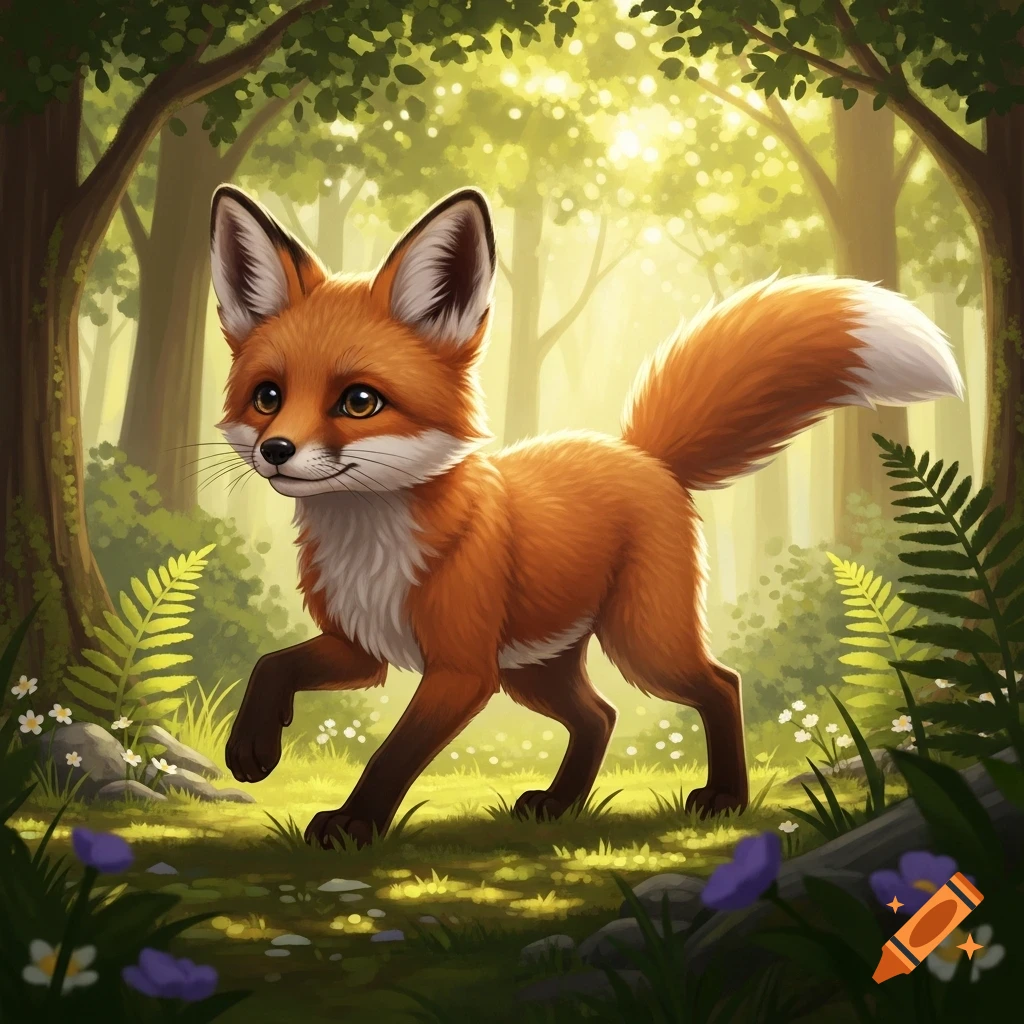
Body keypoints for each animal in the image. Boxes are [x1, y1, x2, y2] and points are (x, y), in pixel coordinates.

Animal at [213, 184, 963, 848]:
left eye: (360, 401)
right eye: (268, 396)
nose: (277, 452)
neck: (371, 541)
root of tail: (642, 453)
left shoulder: (461, 670)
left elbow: (392, 753)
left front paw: (353, 824)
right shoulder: (361, 645)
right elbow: (272, 665)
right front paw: (252, 747)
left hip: (641, 644)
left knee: (719, 685)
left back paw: (724, 796)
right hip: (536, 667)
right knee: (600, 716)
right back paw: (560, 803)